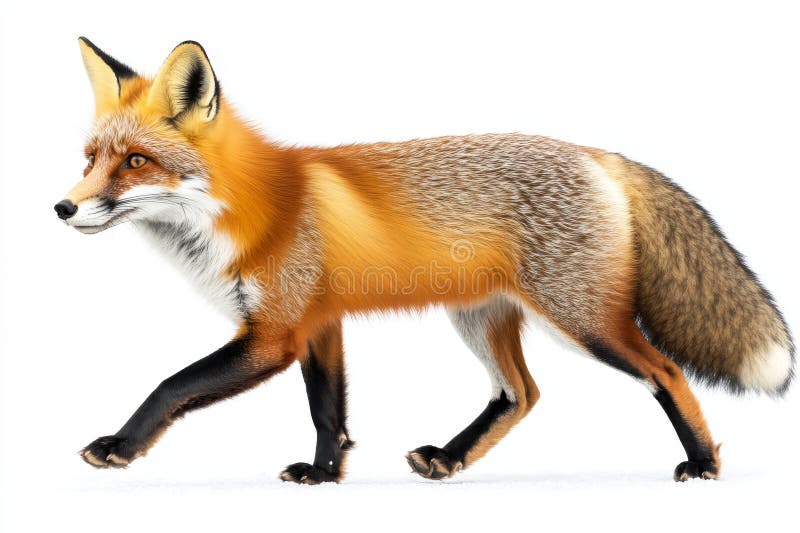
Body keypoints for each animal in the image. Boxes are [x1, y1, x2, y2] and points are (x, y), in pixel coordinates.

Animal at [56, 37, 794, 484]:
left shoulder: (275, 333)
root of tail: (597, 154)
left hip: (583, 321)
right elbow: (328, 411)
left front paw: (119, 445)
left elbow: (170, 384)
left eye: (136, 162)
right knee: (520, 393)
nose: (62, 209)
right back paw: (451, 455)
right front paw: (324, 475)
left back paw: (703, 462)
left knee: (664, 372)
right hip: (480, 318)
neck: (253, 209)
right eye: (91, 158)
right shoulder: (319, 325)